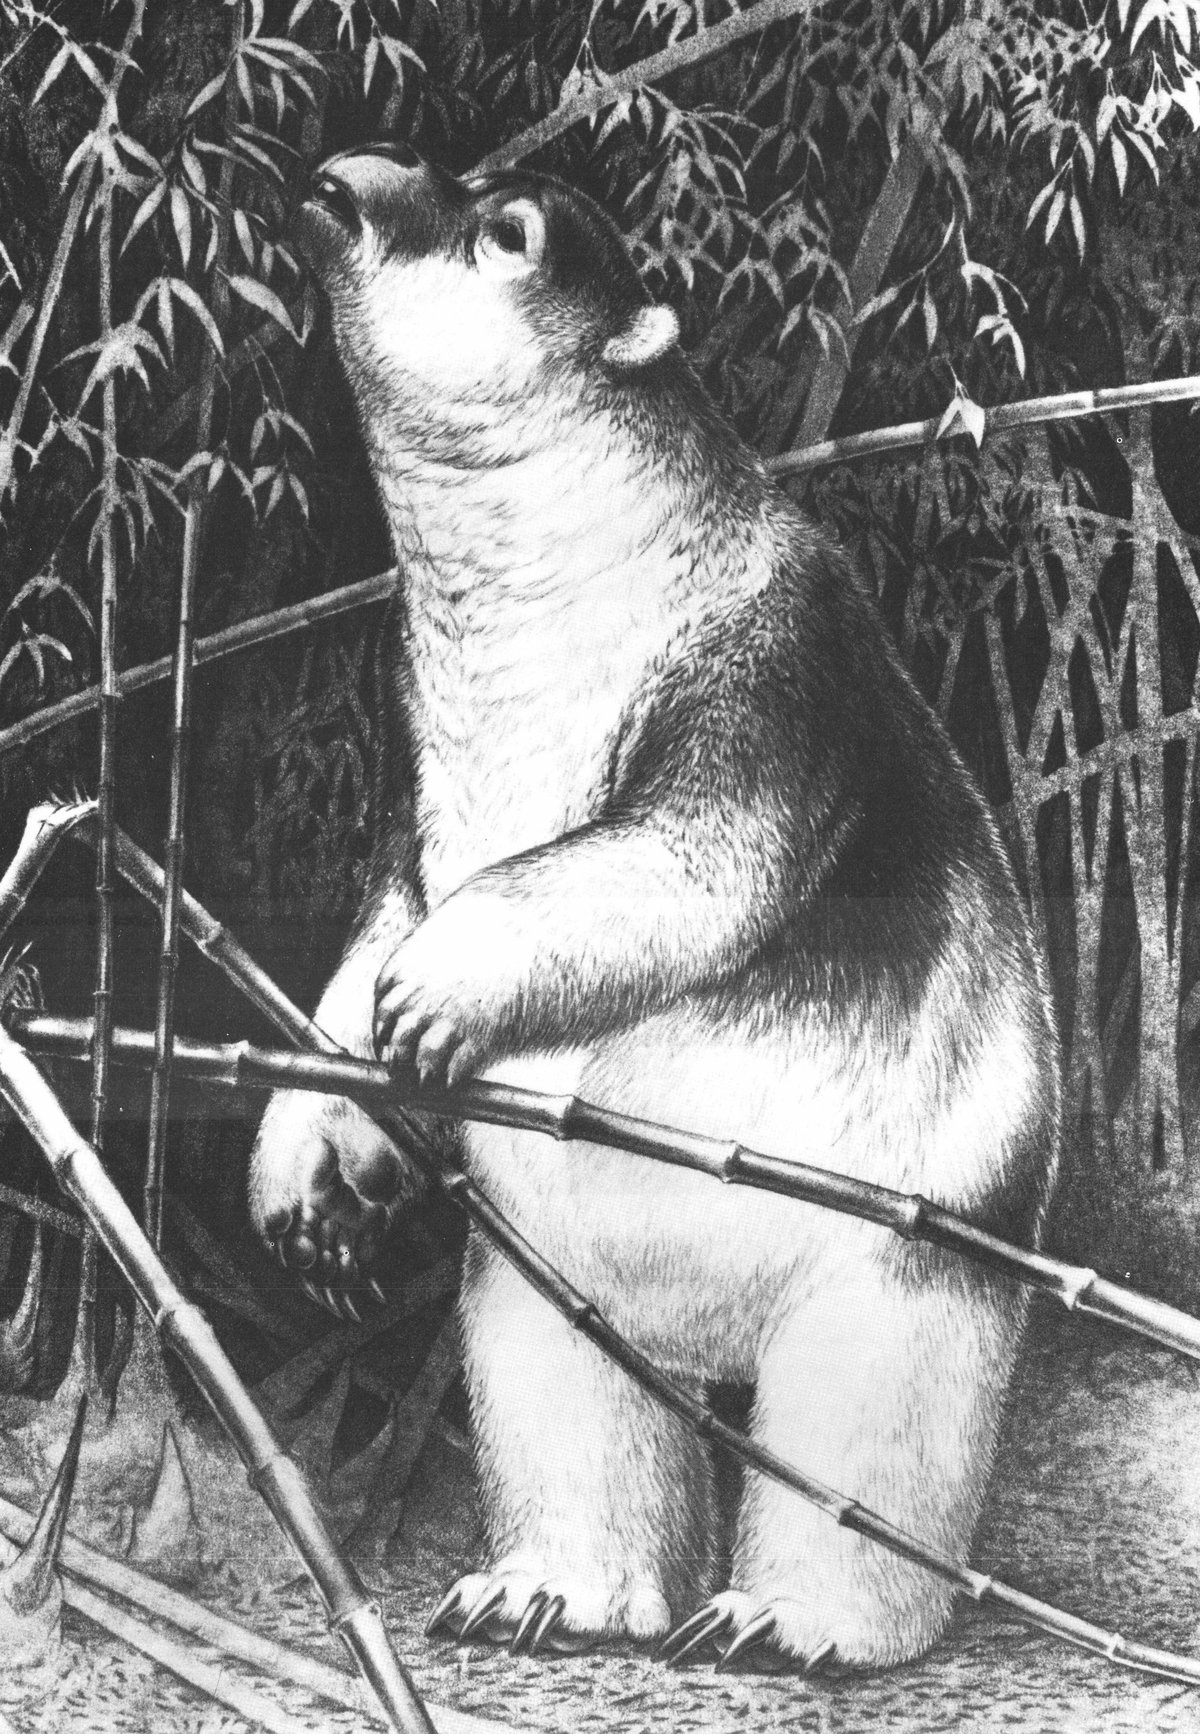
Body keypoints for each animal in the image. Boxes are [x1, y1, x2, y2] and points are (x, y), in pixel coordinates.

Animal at [249, 142, 1061, 1672]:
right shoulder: (413, 738)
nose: (336, 178)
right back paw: (547, 1591)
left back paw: (789, 1623)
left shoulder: (770, 650)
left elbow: (687, 857)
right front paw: (315, 1181)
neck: (535, 574)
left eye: (508, 231)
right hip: (543, 1281)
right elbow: (374, 920)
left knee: (872, 1425)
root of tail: (708, 1356)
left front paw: (435, 996)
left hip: (908, 1254)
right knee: (568, 1396)